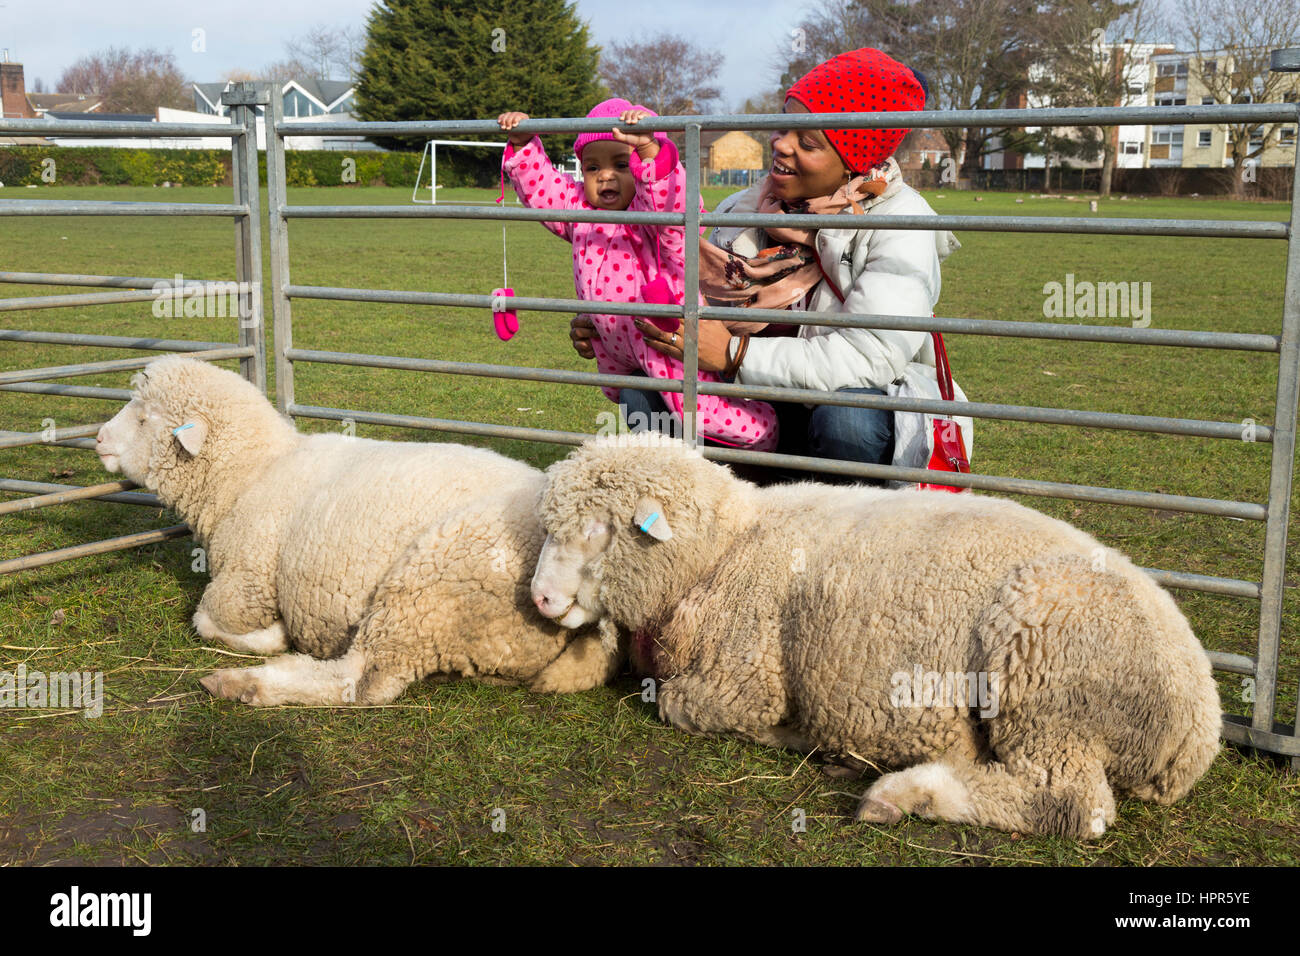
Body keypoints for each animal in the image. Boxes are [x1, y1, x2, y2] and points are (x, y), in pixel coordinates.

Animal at [94, 355, 621, 706]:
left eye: (143, 417)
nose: (97, 439)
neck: (249, 475)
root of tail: (599, 611)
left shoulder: (245, 583)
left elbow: (206, 621)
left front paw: (274, 636)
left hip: (425, 590)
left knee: (361, 682)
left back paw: (244, 684)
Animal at [529, 433, 1223, 839]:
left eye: (599, 529)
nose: (540, 599)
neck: (723, 552)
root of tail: (1197, 724)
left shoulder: (740, 681)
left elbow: (680, 705)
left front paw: (791, 734)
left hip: (1048, 688)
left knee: (1072, 806)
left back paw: (903, 791)